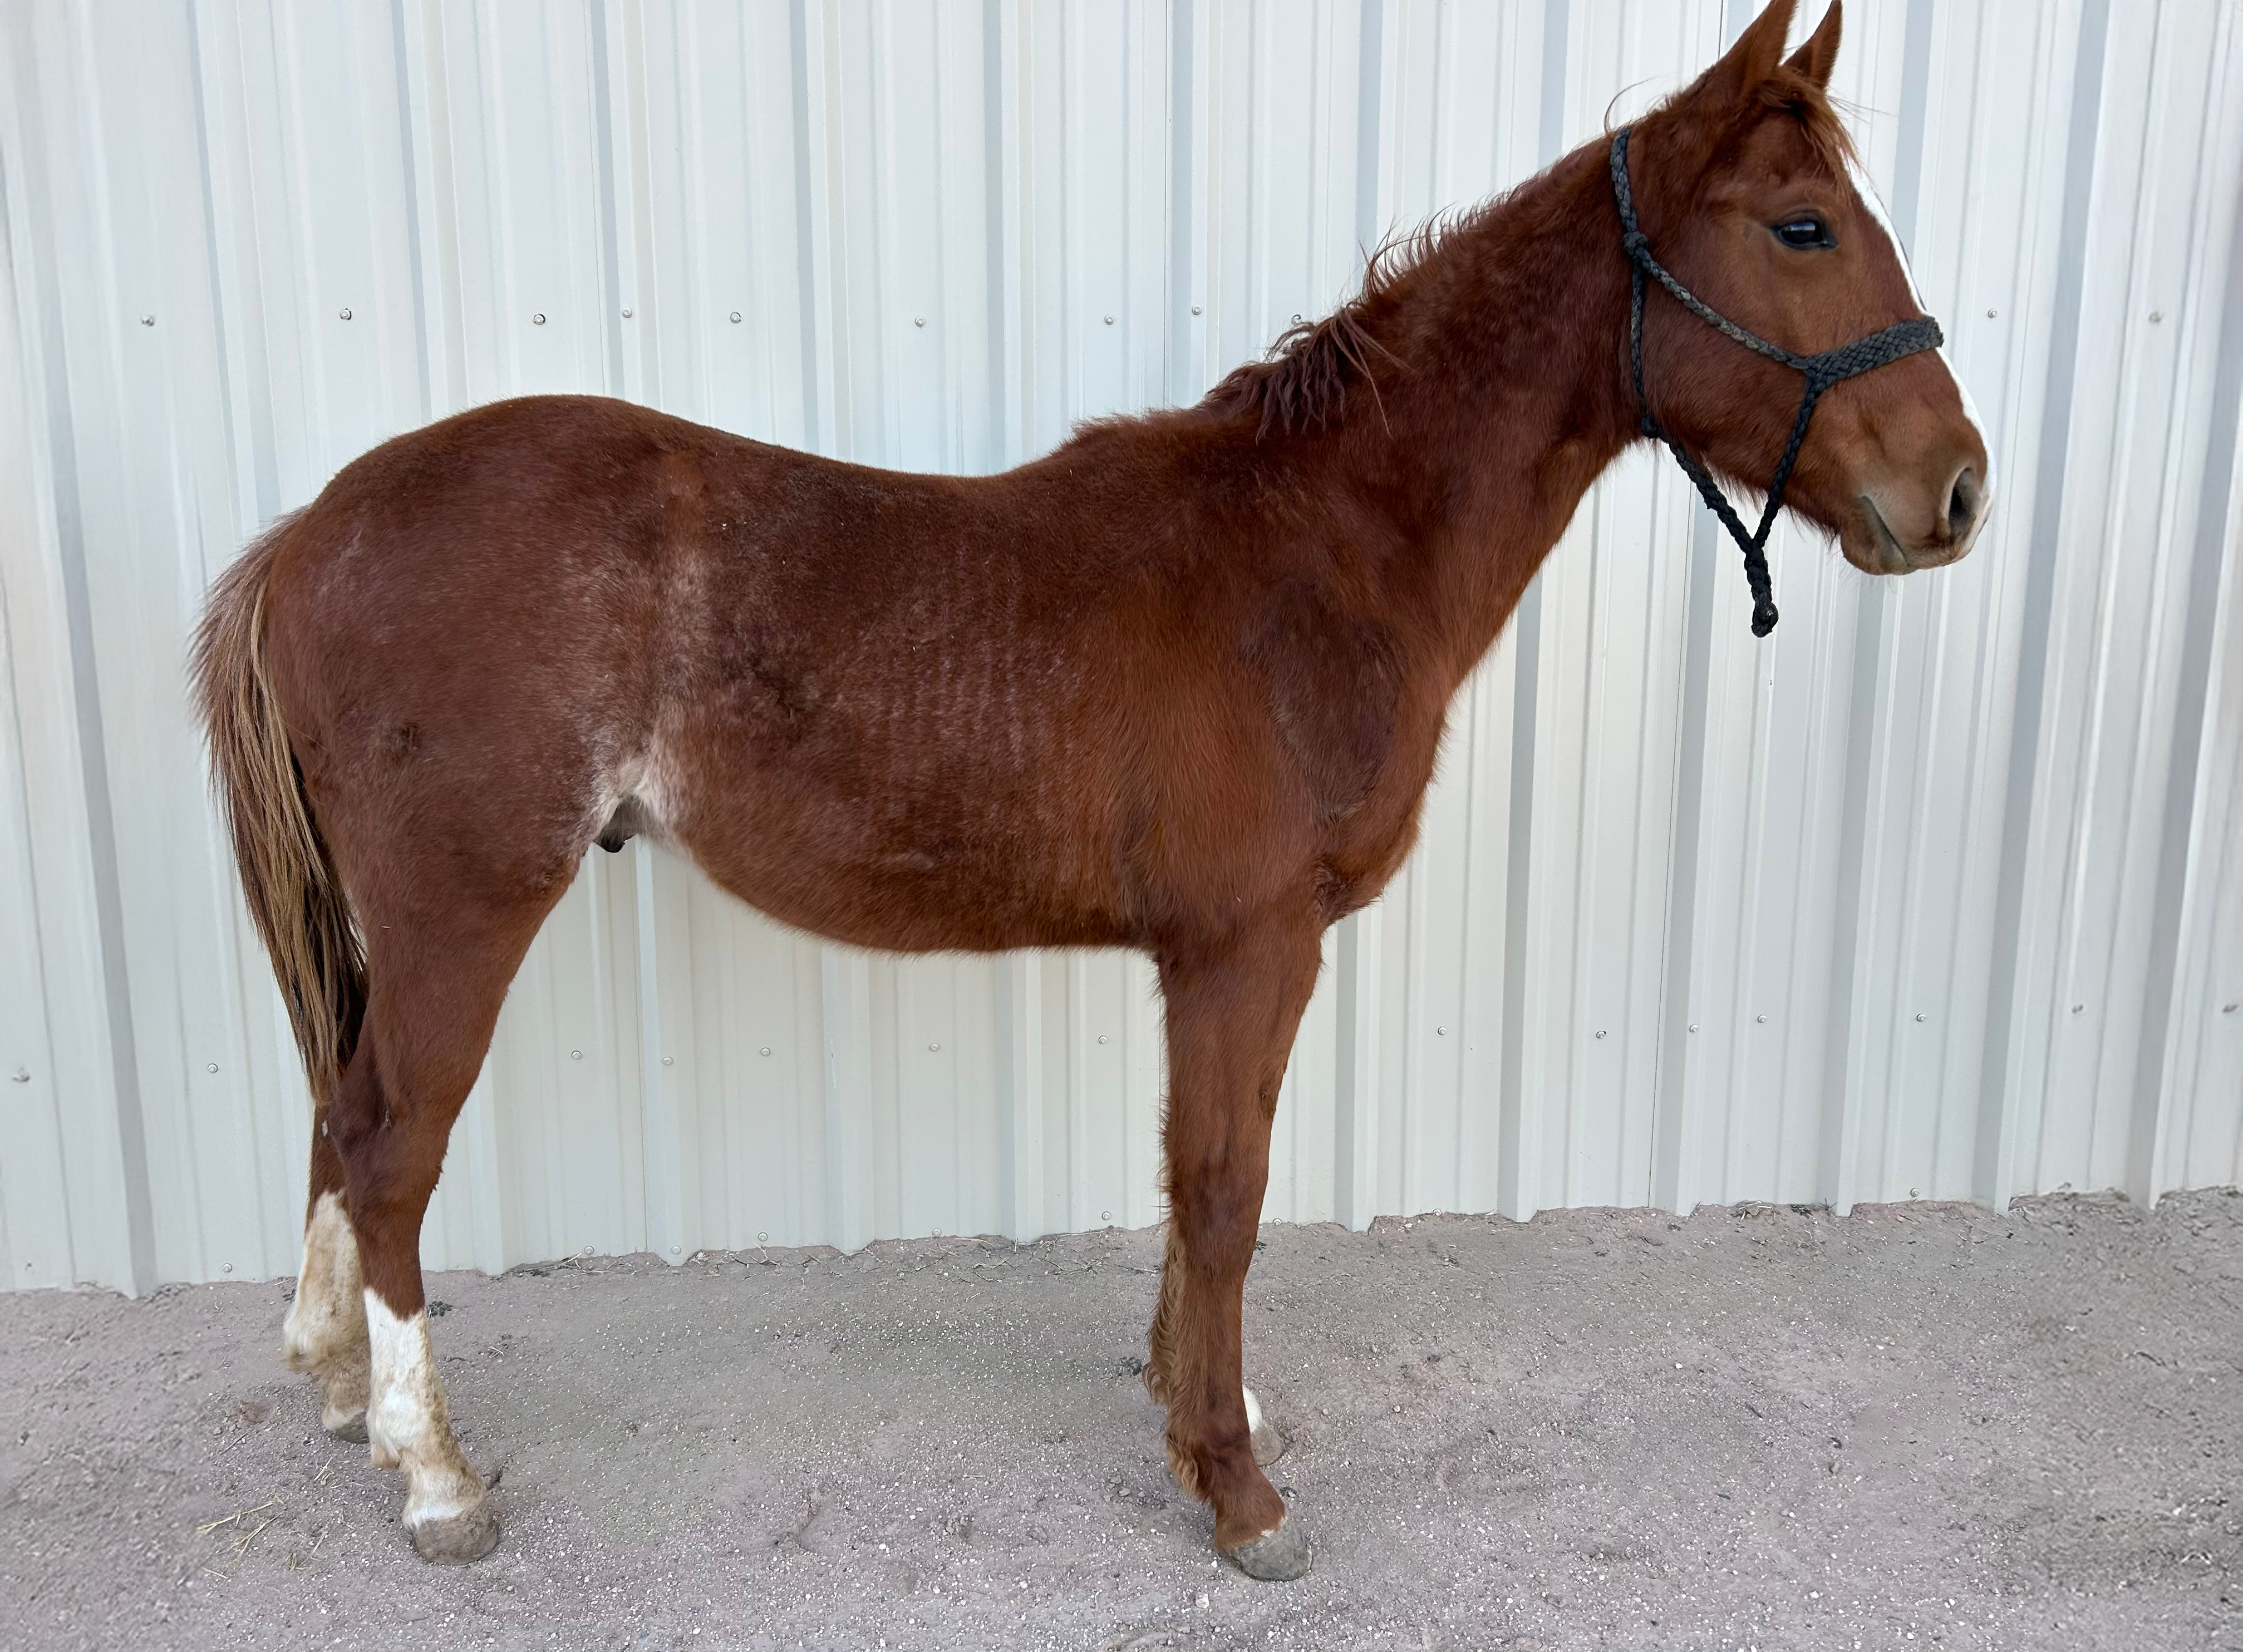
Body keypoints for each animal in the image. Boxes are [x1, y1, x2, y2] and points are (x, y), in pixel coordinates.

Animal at [194, 0, 1987, 1581]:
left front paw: (1198, 1410)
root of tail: (309, 532)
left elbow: (1196, 1187)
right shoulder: (1248, 945)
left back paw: (342, 1386)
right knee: (387, 1146)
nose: (1955, 489)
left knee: (337, 1112)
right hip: (465, 908)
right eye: (1803, 226)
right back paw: (432, 1476)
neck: (1315, 553)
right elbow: (1224, 1192)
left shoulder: (1220, 959)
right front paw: (1239, 1490)